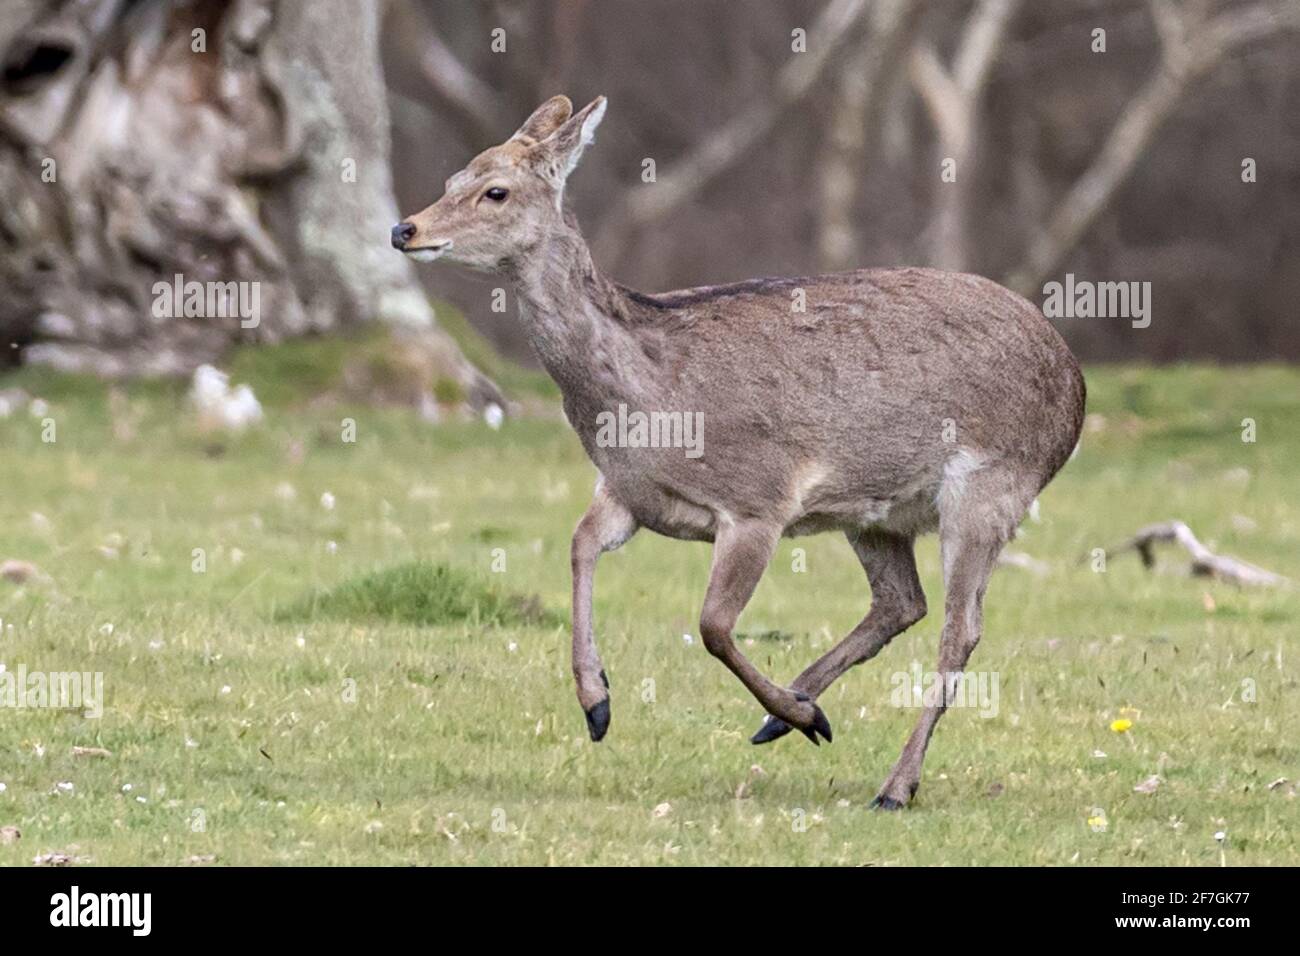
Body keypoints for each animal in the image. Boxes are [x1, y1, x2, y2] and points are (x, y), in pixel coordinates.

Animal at [392, 95, 1085, 809]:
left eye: (495, 191)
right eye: (453, 177)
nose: (404, 229)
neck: (649, 399)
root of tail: (1074, 380)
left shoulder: (759, 499)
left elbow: (714, 625)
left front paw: (804, 717)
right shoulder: (626, 492)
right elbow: (580, 545)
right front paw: (597, 703)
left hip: (991, 487)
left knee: (959, 628)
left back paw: (890, 781)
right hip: (875, 511)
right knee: (903, 602)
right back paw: (786, 714)